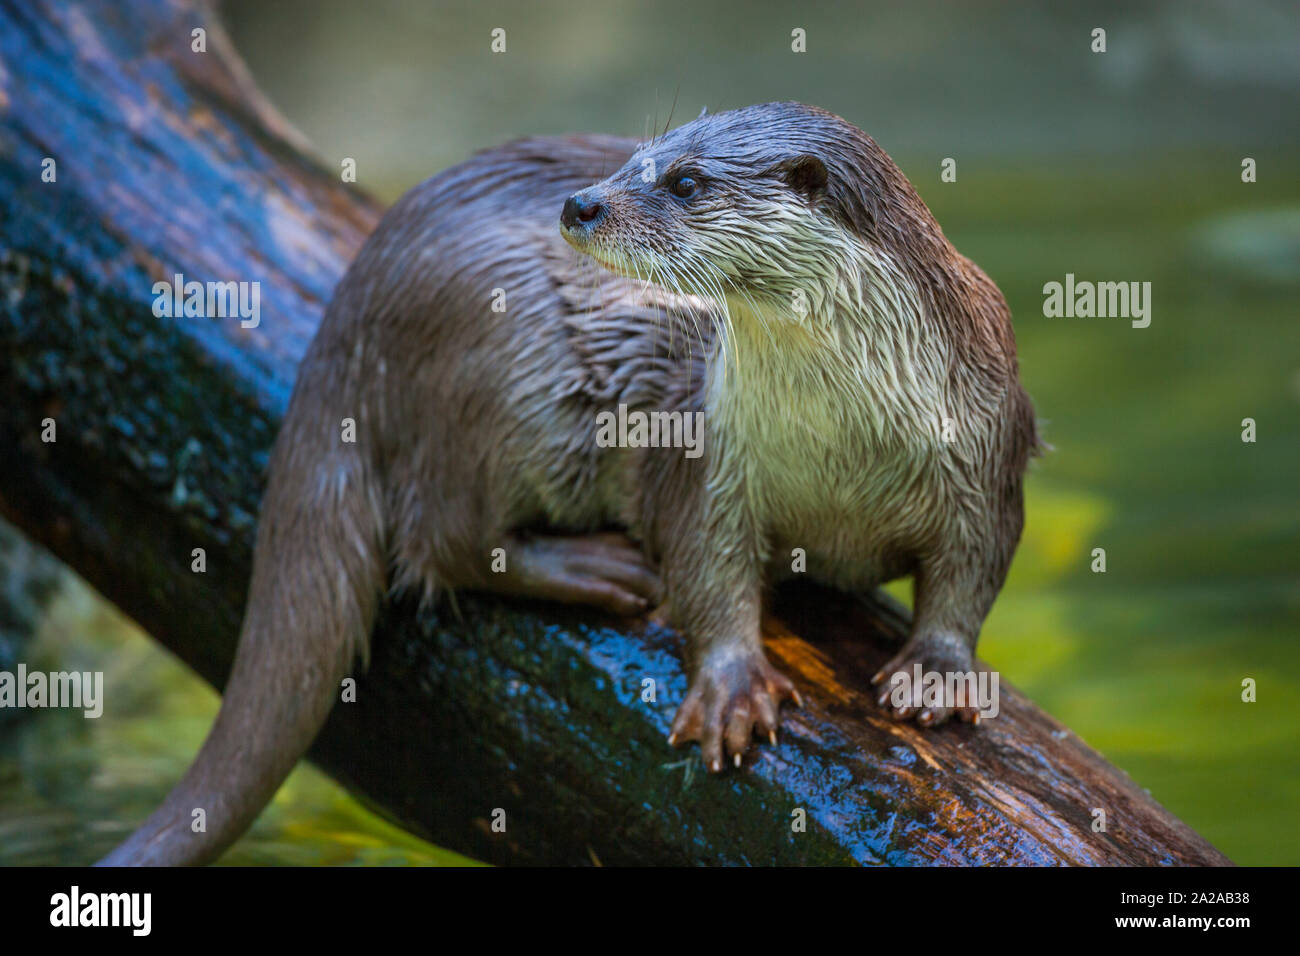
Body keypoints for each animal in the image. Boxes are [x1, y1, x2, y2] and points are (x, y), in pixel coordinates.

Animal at [99, 102, 1037, 866]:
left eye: (686, 180)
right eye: (638, 156)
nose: (580, 203)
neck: (846, 442)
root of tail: (353, 309)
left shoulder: (987, 449)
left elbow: (972, 570)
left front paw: (938, 670)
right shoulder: (709, 458)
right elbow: (706, 568)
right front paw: (731, 687)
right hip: (504, 369)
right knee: (442, 540)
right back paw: (594, 568)